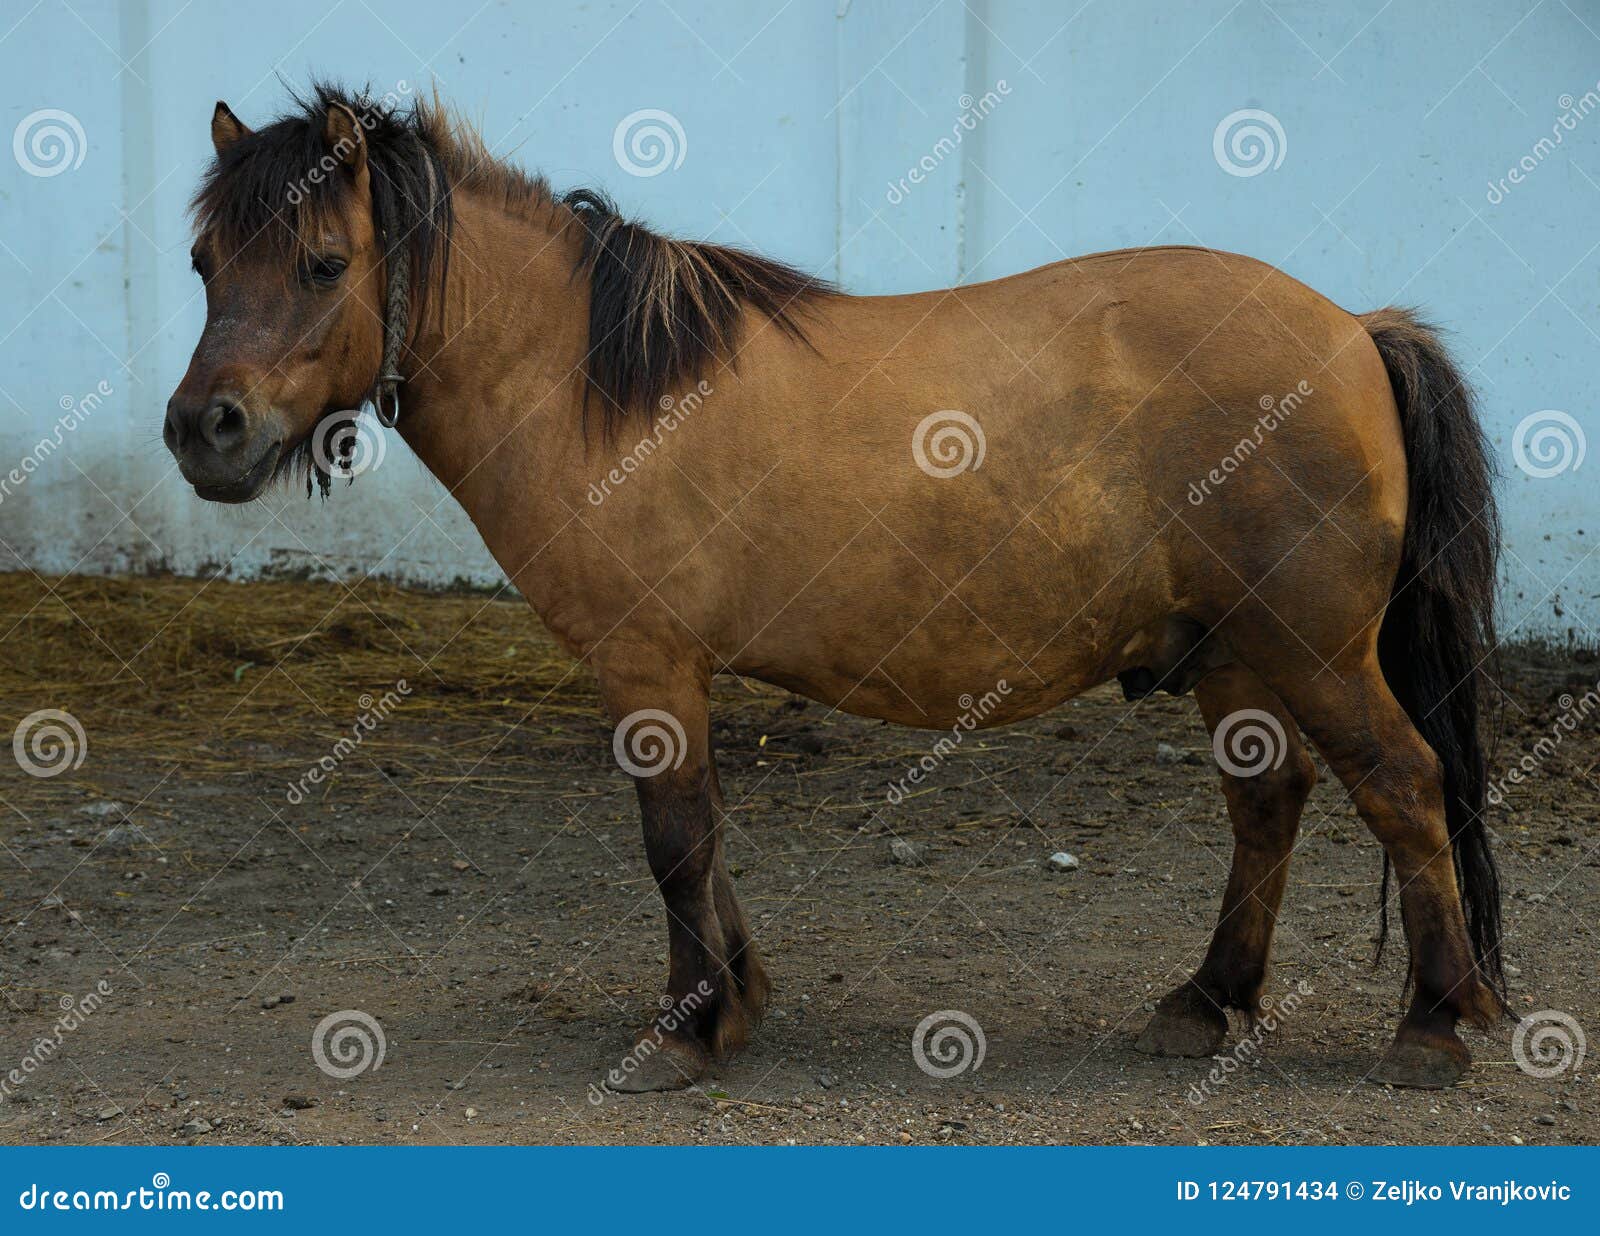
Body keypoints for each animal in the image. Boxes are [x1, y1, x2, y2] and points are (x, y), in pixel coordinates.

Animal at [164, 85, 1505, 1093]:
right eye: (202, 261)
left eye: (324, 262)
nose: (203, 432)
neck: (596, 388)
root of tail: (1352, 328)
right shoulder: (676, 675)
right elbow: (705, 841)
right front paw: (736, 1001)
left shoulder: (646, 665)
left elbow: (674, 843)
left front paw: (684, 1031)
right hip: (1235, 652)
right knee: (1269, 803)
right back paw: (1204, 1001)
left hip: (1312, 650)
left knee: (1403, 787)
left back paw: (1431, 1025)